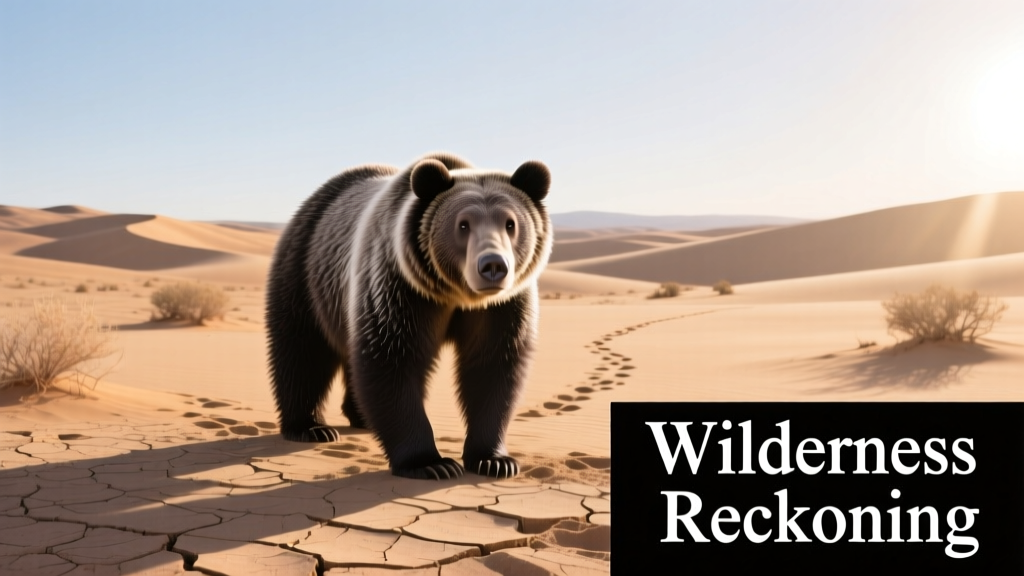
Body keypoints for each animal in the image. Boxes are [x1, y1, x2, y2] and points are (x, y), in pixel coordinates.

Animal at [265, 152, 552, 480]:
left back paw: (359, 415)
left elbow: (492, 366)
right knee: (303, 351)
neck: (455, 294)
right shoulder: (398, 288)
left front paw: (494, 460)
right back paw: (310, 427)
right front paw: (431, 463)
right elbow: (392, 361)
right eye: (463, 224)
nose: (493, 265)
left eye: (510, 223)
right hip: (306, 275)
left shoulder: (501, 307)